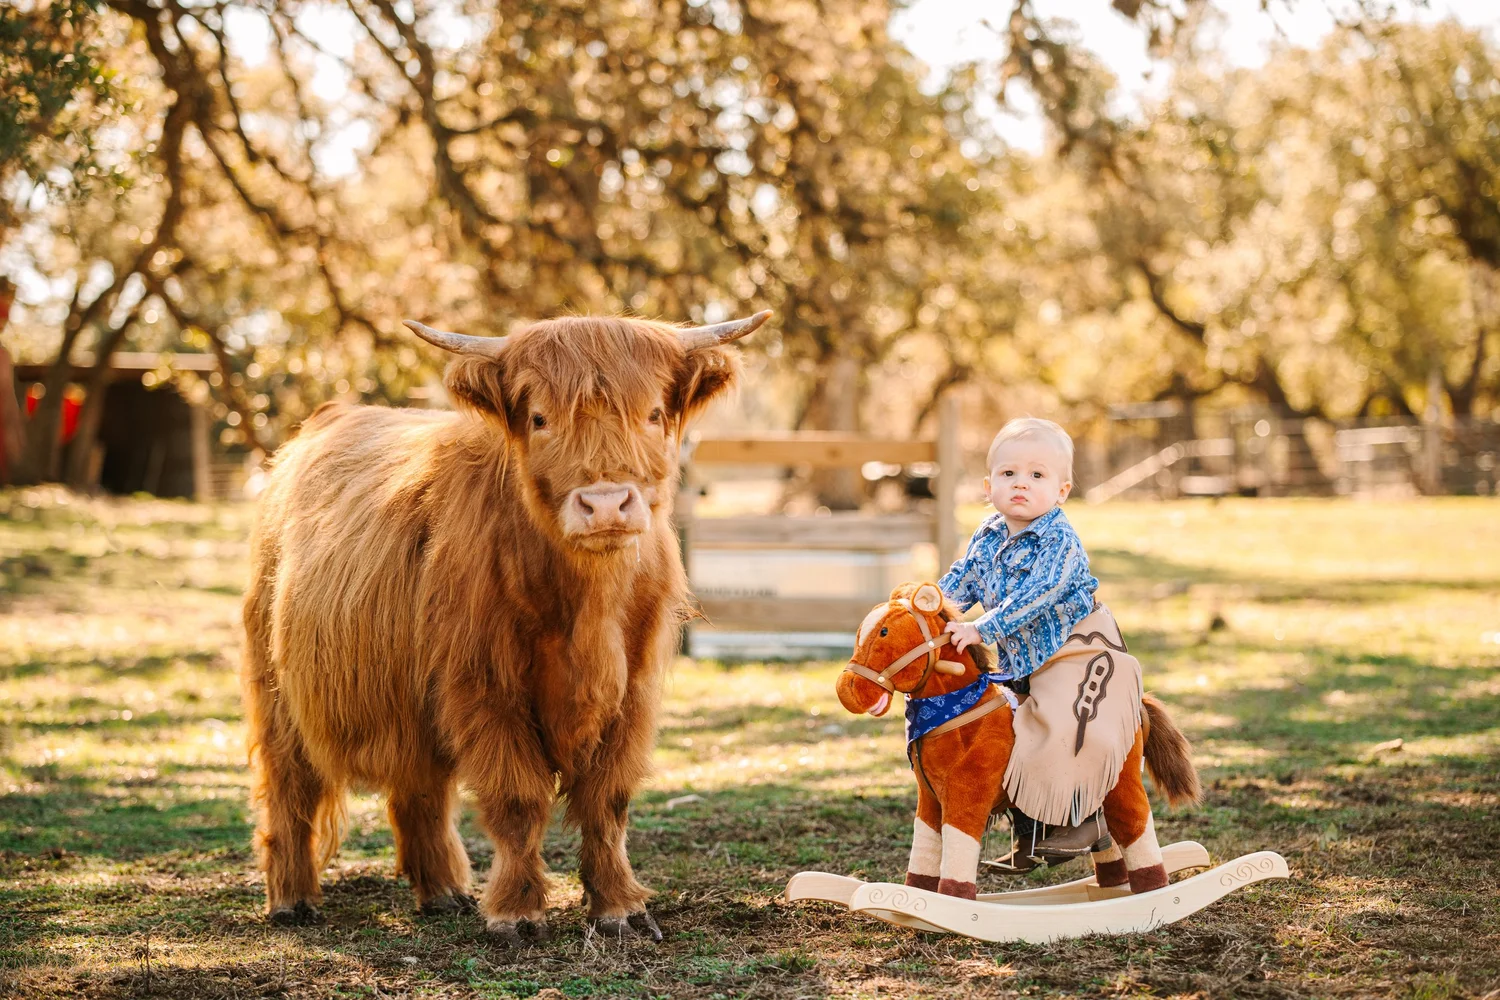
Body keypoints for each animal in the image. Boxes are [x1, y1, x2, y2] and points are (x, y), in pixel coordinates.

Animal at [241, 310, 770, 944]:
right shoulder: (485, 686)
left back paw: (443, 893)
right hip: (277, 691)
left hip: (410, 698)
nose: (606, 504)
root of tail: (323, 421)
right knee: (289, 789)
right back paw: (291, 900)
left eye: (653, 413)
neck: (588, 611)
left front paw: (619, 908)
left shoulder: (634, 691)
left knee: (420, 786)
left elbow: (608, 801)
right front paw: (516, 913)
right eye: (540, 418)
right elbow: (517, 800)